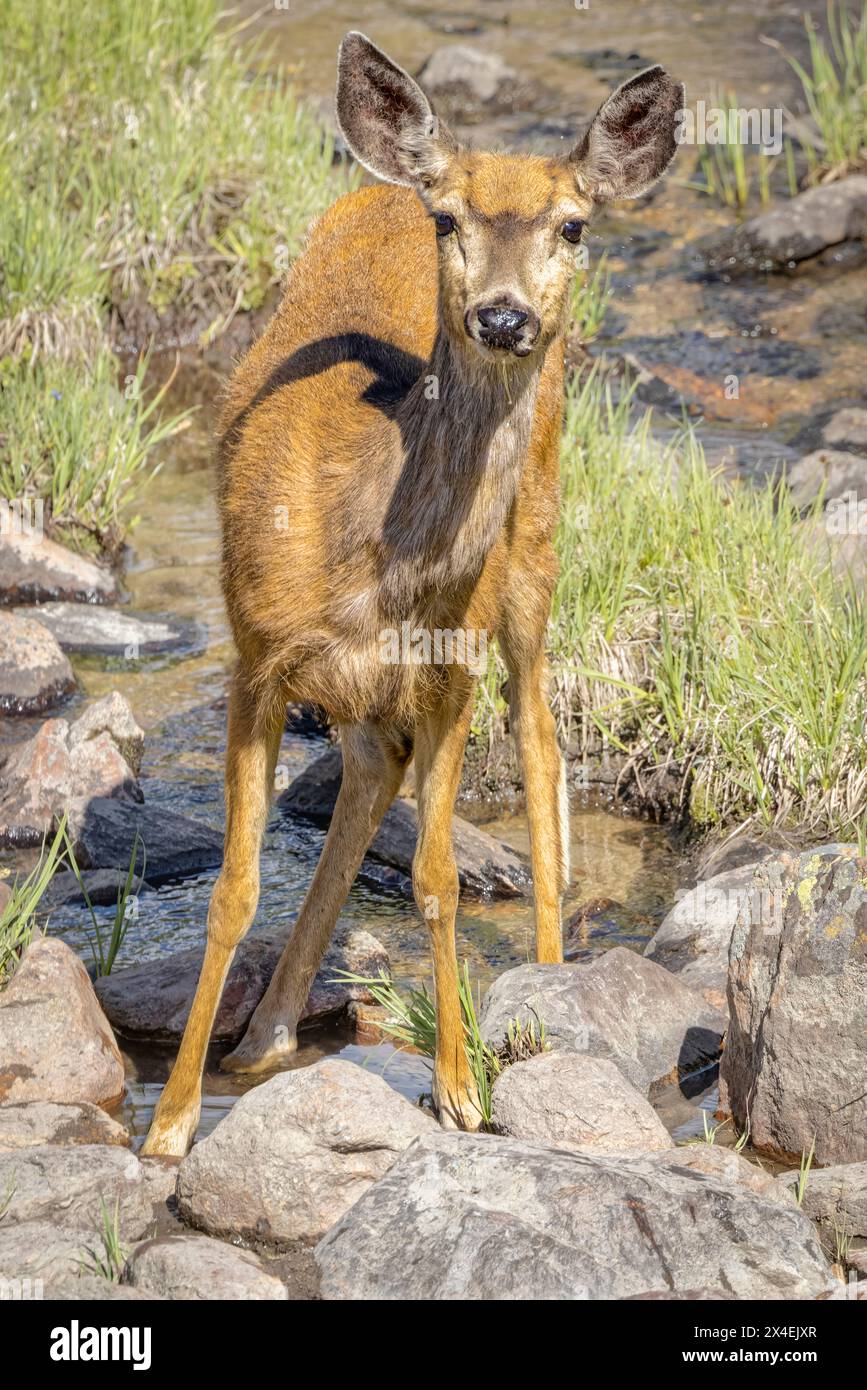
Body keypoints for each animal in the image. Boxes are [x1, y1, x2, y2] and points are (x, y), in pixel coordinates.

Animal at [143, 32, 682, 1156]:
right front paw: (169, 1123)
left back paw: (553, 975)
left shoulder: (450, 669)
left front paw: (462, 1093)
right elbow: (232, 890)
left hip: (536, 548)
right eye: (450, 222)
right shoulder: (256, 656)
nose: (504, 314)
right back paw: (264, 1033)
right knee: (368, 766)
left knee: (539, 738)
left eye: (573, 225)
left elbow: (435, 879)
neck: (371, 544)